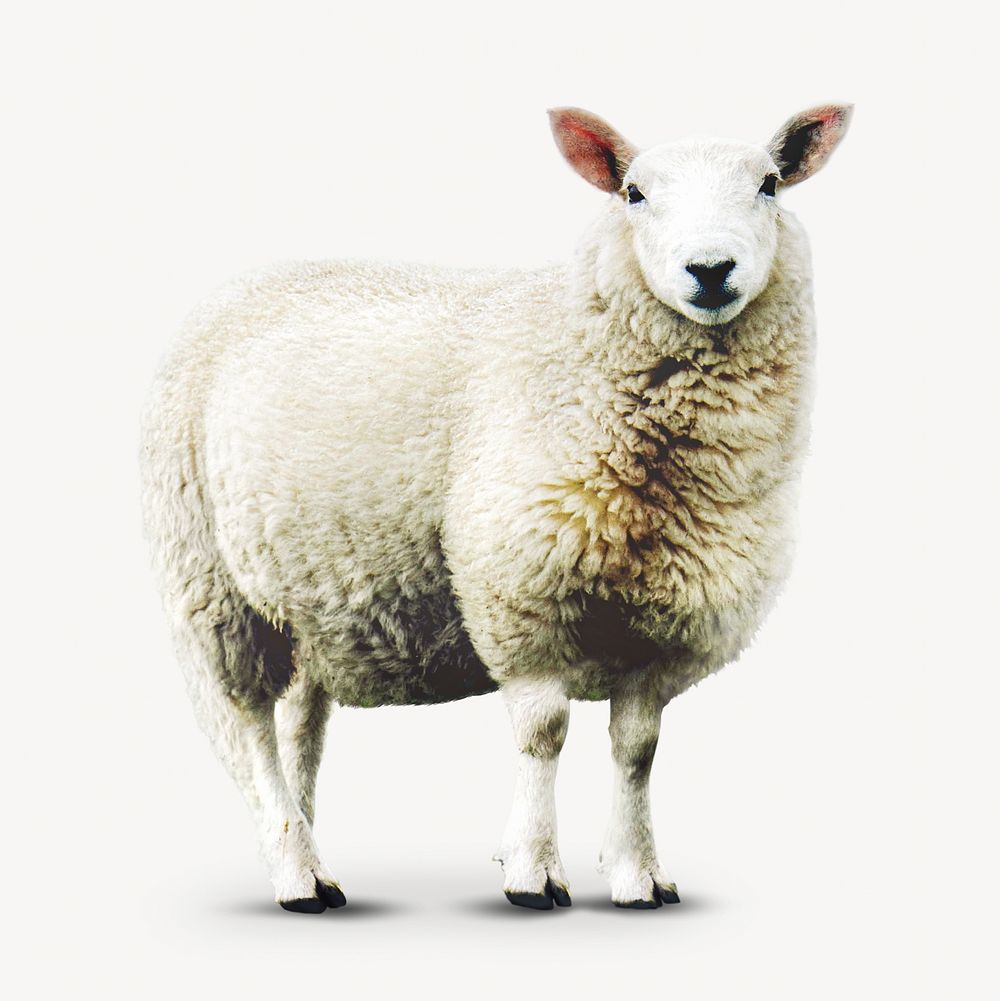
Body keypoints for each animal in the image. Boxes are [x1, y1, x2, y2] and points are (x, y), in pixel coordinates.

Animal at [141, 103, 852, 912]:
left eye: (769, 185)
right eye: (634, 193)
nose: (710, 269)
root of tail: (245, 283)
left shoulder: (663, 624)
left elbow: (637, 749)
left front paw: (638, 873)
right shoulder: (521, 590)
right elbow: (544, 733)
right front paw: (533, 871)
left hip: (308, 602)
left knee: (300, 728)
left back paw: (311, 856)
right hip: (211, 583)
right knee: (251, 728)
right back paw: (294, 874)